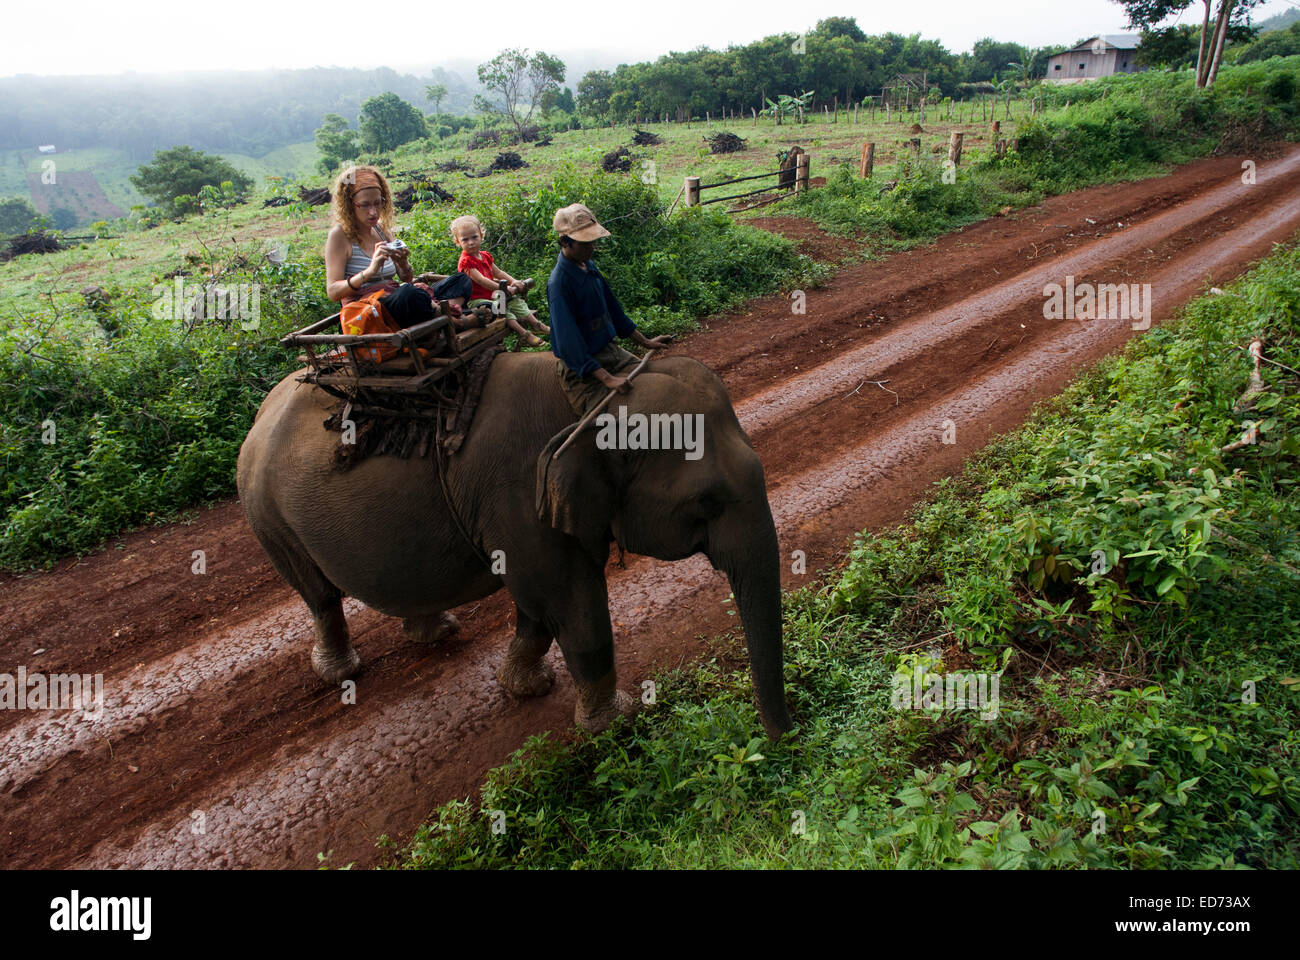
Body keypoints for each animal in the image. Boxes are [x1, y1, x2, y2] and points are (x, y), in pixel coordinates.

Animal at [235, 351, 793, 739]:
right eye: (706, 502)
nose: (784, 740)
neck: (592, 399)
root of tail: (263, 409)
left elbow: (539, 607)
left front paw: (523, 686)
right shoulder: (519, 497)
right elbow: (570, 604)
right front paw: (614, 723)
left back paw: (436, 632)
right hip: (269, 516)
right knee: (318, 594)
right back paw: (340, 671)